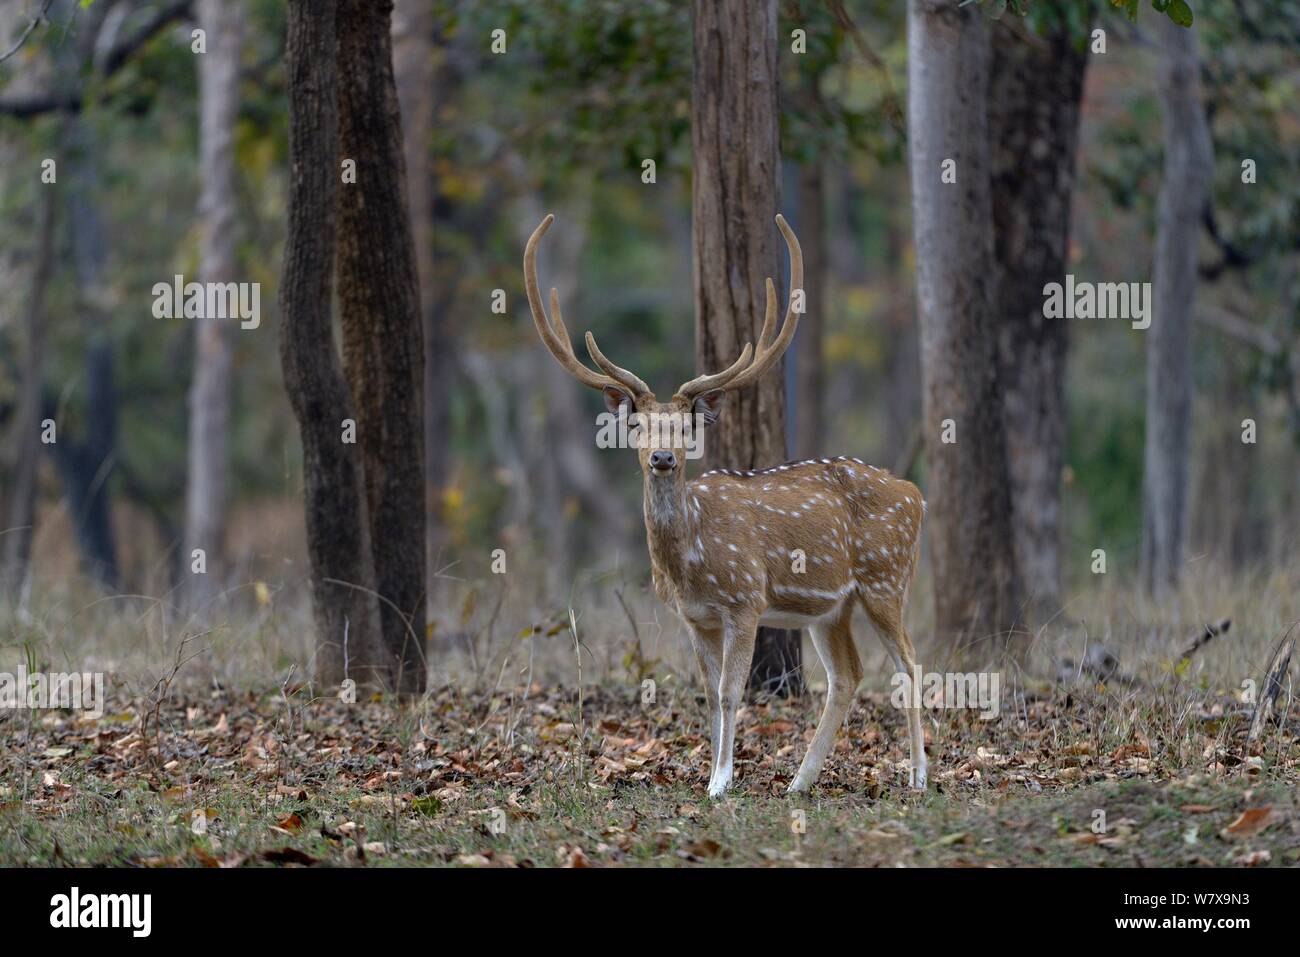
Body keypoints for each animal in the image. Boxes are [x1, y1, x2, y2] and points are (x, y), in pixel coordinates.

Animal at [524, 213, 928, 798]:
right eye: (640, 425)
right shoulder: (695, 617)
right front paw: (713, 775)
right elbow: (710, 695)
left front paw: (720, 782)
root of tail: (916, 494)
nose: (663, 457)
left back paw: (918, 775)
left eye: (686, 426)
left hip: (886, 578)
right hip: (833, 606)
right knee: (846, 675)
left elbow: (732, 692)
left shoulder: (745, 601)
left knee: (911, 664)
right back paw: (799, 781)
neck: (692, 559)